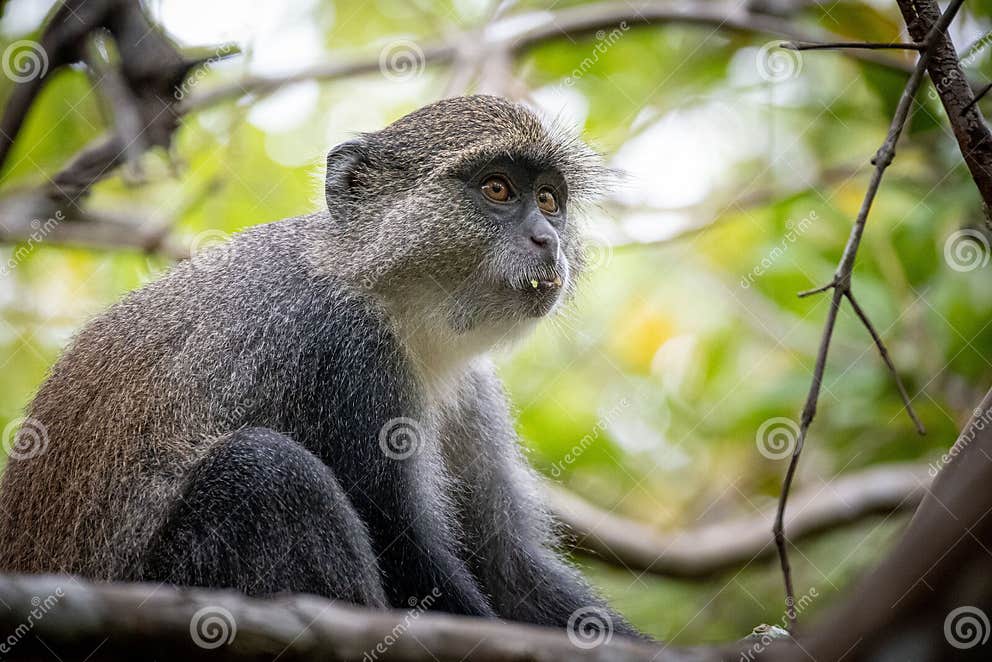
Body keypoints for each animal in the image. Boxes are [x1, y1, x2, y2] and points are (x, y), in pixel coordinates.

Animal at [0, 95, 643, 637]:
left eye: (550, 201)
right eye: (498, 189)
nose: (546, 239)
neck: (391, 298)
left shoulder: (471, 389)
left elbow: (508, 565)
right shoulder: (345, 347)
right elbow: (406, 549)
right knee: (268, 471)